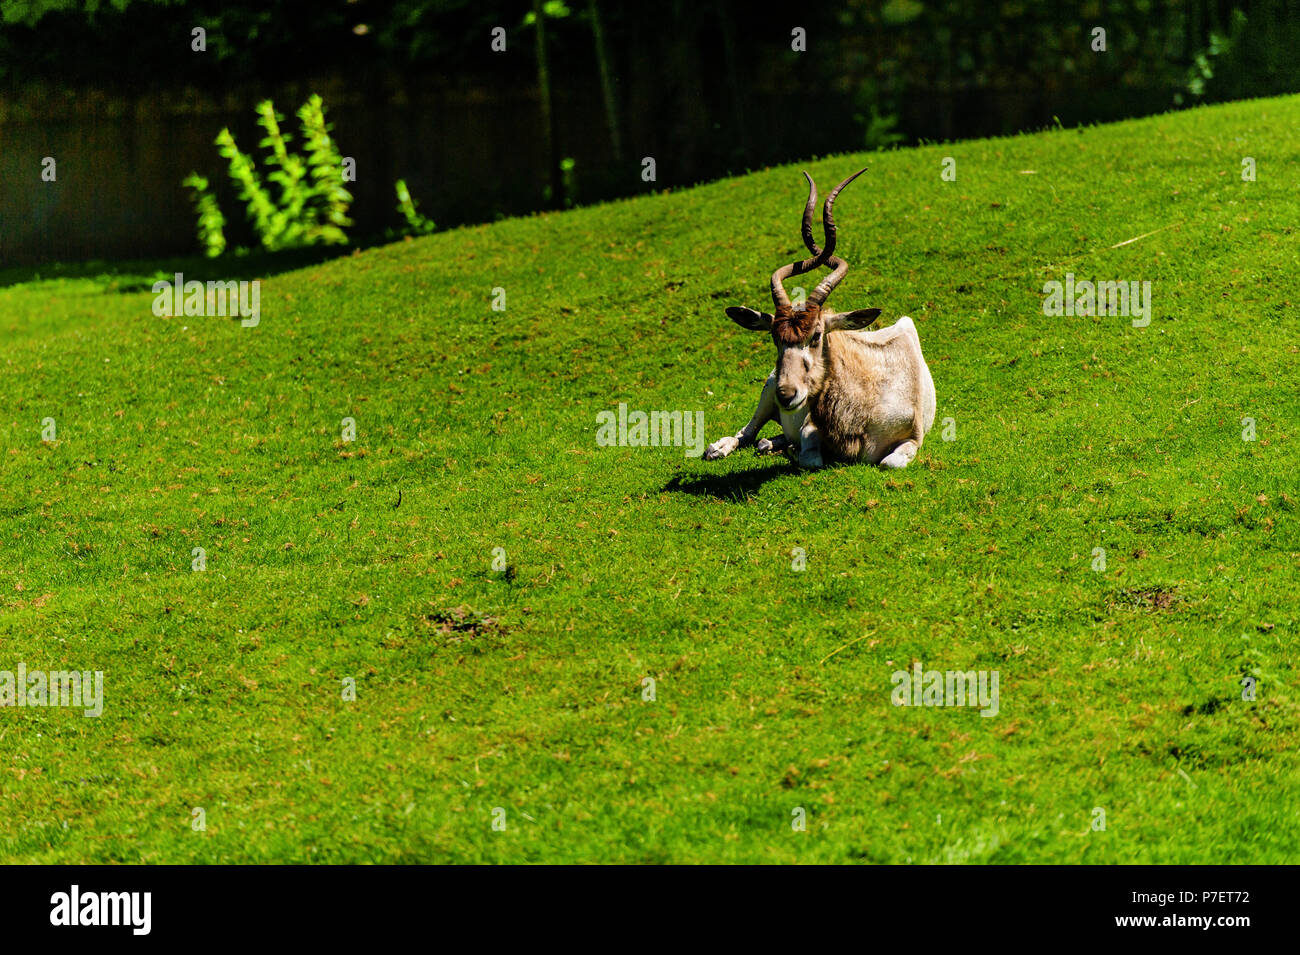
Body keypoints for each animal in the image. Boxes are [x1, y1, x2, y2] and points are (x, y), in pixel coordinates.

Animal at [704, 168, 936, 469]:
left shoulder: (913, 438)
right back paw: (719, 448)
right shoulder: (809, 425)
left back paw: (771, 444)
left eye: (816, 335)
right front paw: (794, 450)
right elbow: (810, 455)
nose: (787, 395)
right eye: (774, 337)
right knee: (747, 432)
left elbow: (888, 462)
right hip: (768, 390)